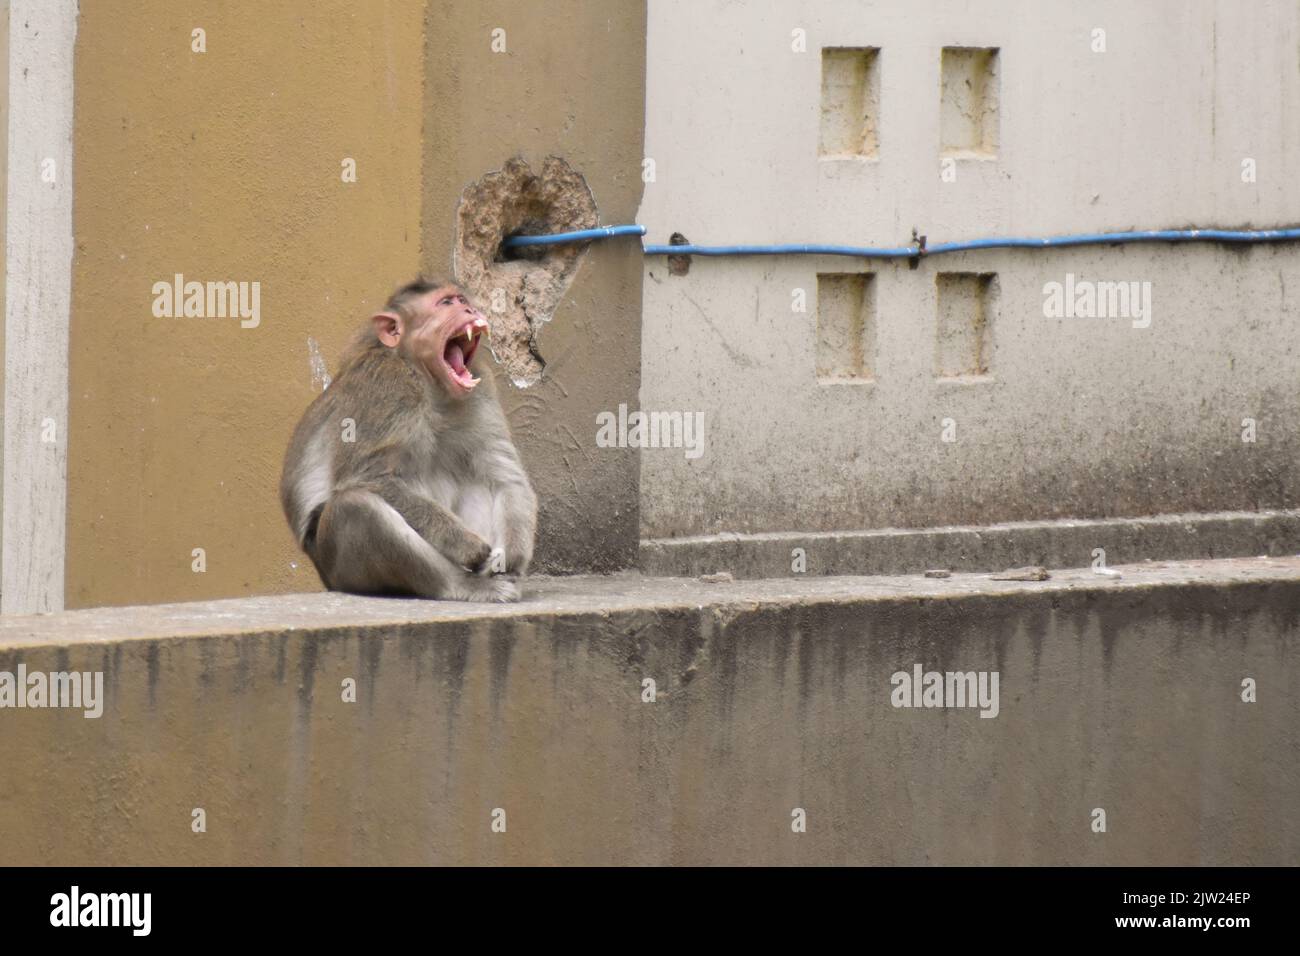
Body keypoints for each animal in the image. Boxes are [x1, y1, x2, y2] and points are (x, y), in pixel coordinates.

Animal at [280, 277, 537, 602]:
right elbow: (367, 476)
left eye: (462, 300)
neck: (428, 382)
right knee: (356, 506)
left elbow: (504, 475)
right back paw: (464, 586)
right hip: (340, 567)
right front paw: (468, 547)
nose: (469, 309)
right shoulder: (389, 386)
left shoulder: (482, 387)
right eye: (446, 304)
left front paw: (511, 558)